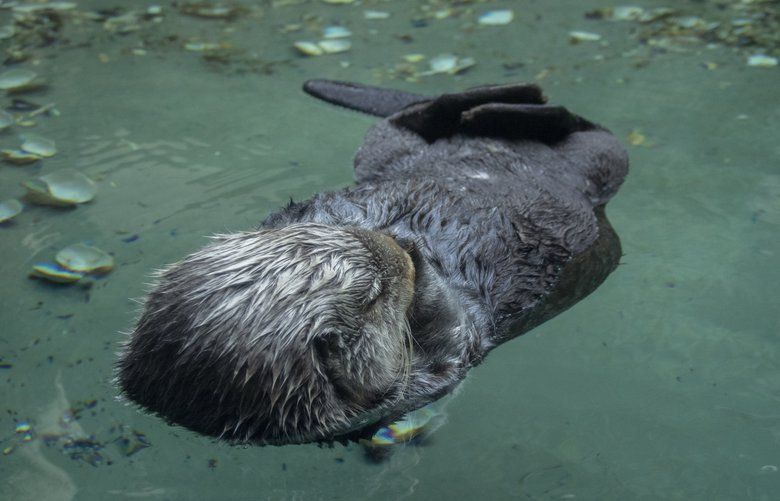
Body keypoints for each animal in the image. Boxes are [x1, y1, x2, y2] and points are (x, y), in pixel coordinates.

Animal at [117, 80, 628, 445]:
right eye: (374, 295)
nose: (394, 246)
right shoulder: (421, 380)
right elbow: (449, 331)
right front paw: (419, 260)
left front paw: (309, 217)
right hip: (597, 166)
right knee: (587, 132)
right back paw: (514, 105)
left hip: (382, 148)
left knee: (431, 112)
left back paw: (496, 102)